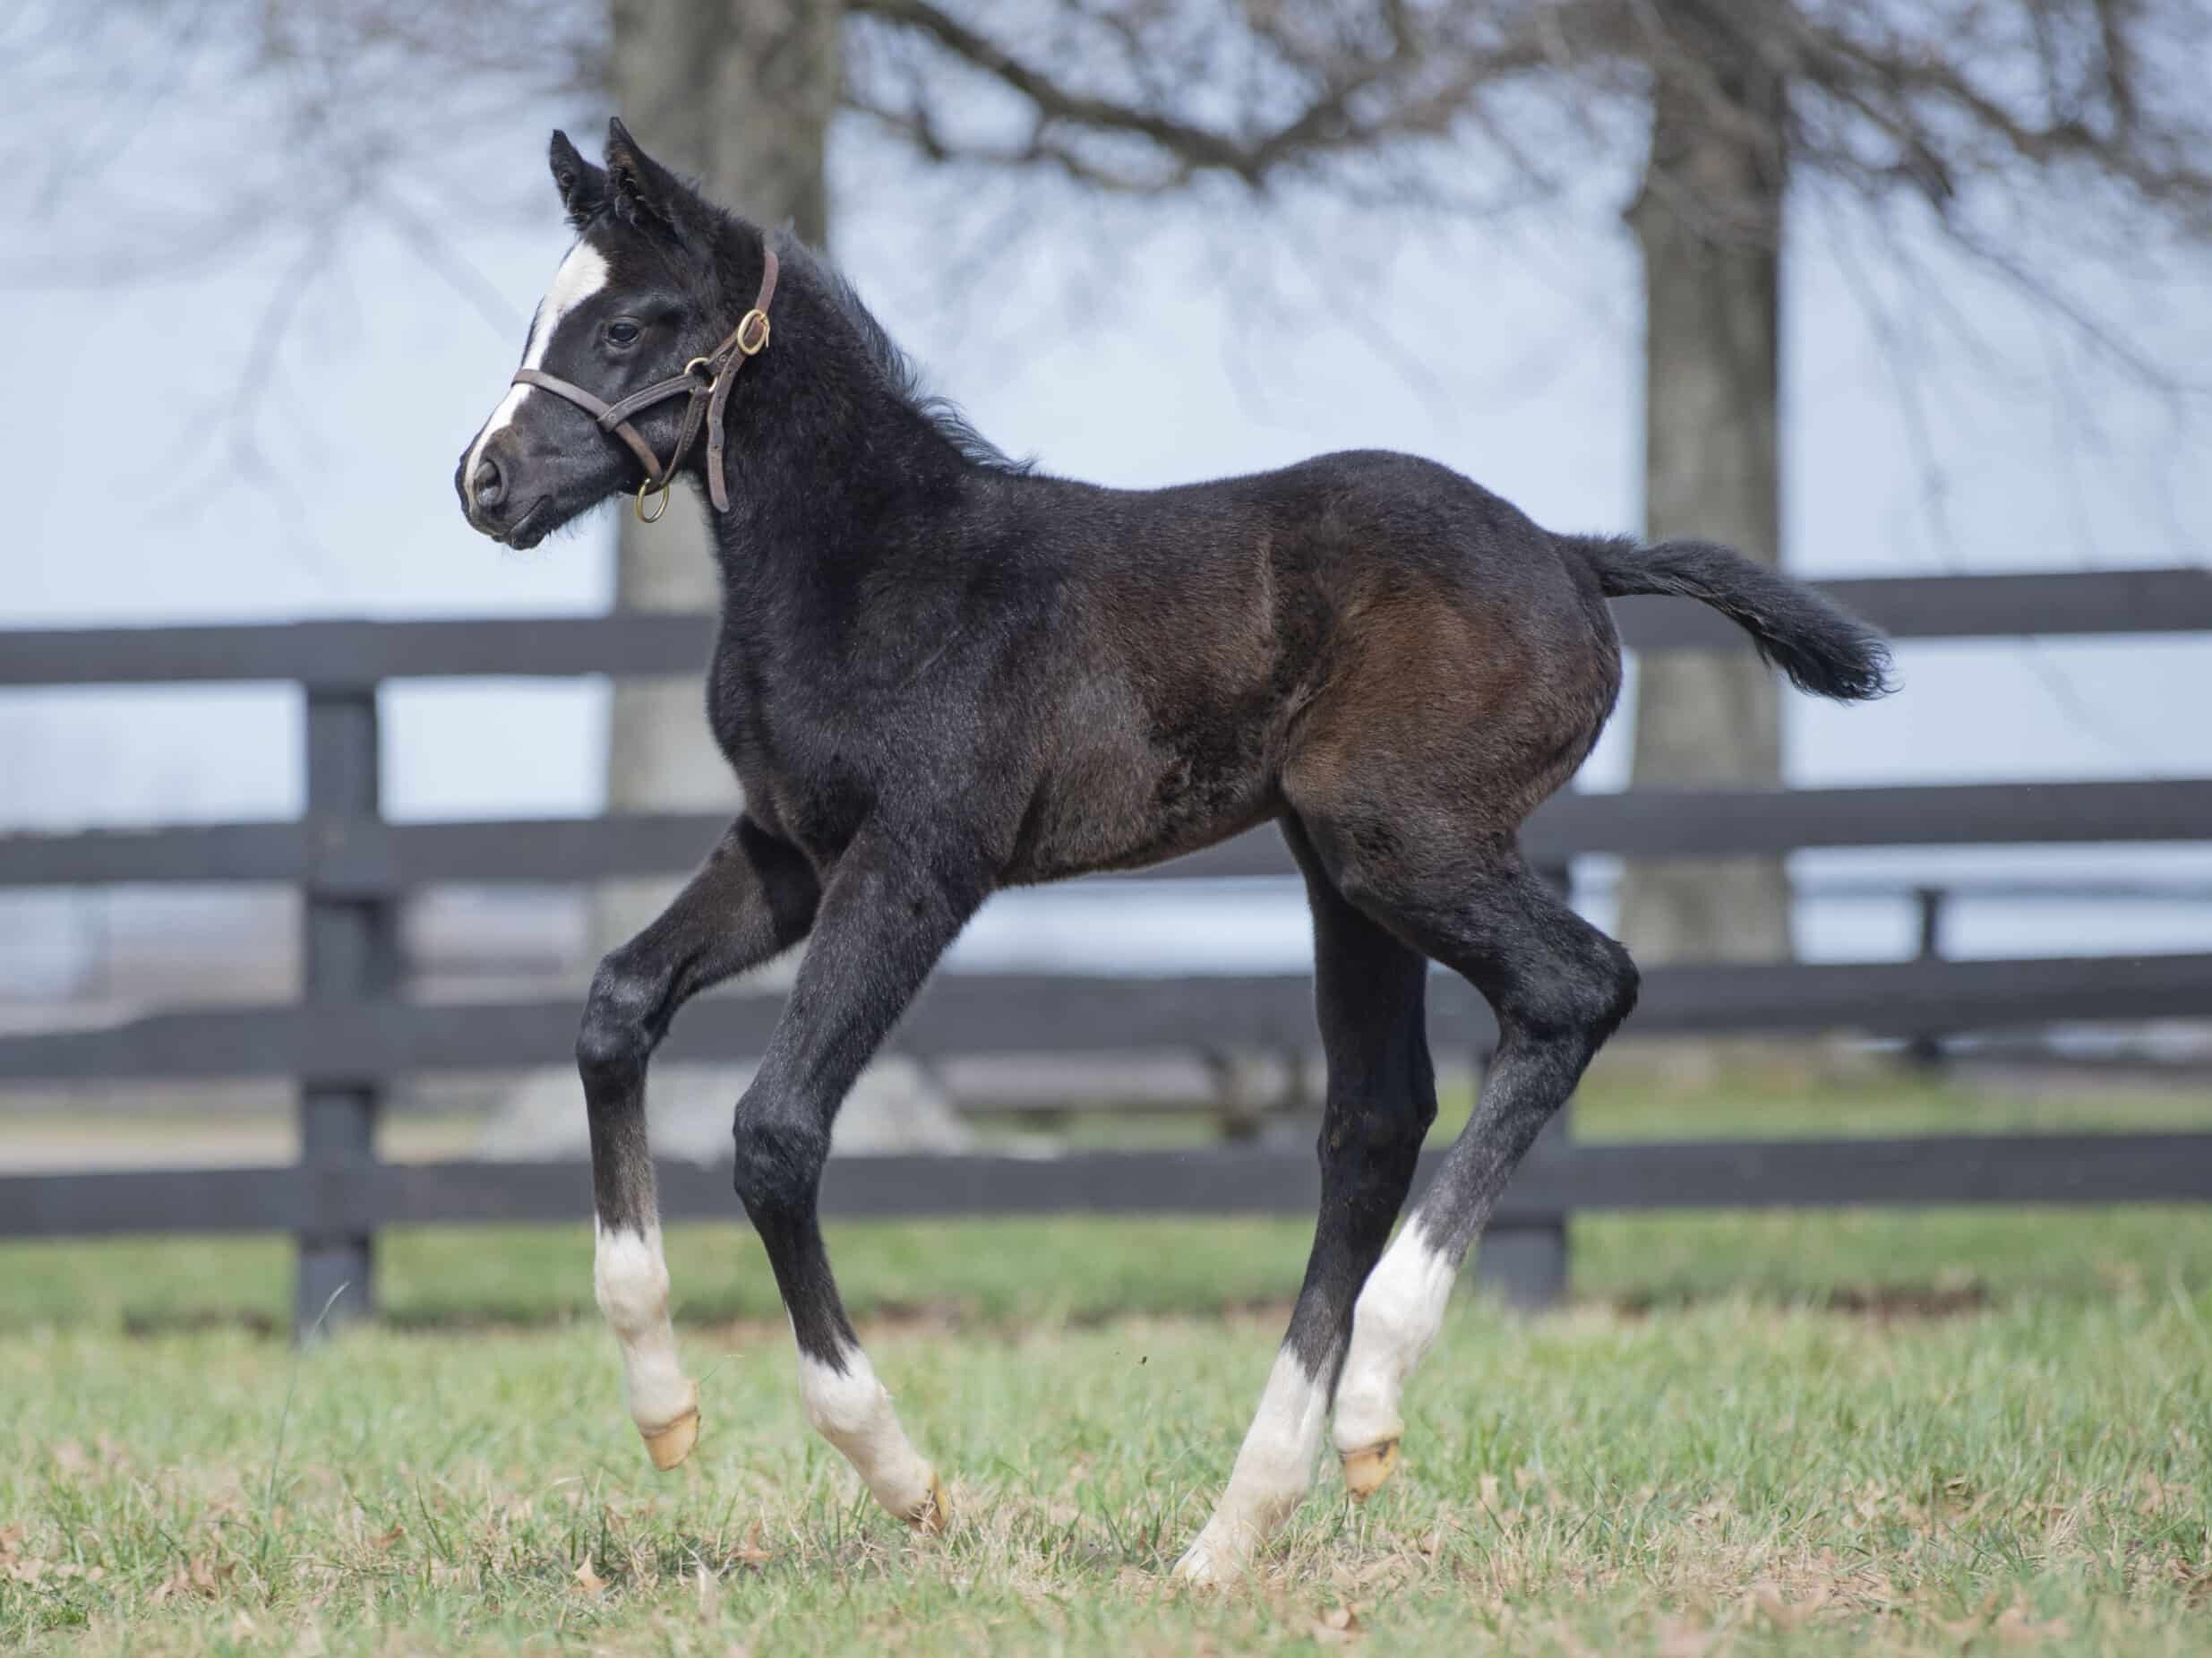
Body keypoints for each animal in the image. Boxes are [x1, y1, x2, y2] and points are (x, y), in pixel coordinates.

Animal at [456, 119, 1891, 1584]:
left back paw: (1372, 1394)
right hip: (1338, 865)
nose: (485, 483)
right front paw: (662, 1407)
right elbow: (616, 1006)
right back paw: (1237, 1524)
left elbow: (775, 1128)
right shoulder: (789, 848)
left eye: (627, 324)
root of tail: (1567, 554)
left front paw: (898, 1470)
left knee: (1574, 989)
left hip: (1396, 835)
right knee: (1373, 1117)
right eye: (541, 317)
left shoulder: (920, 858)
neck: (880, 569)